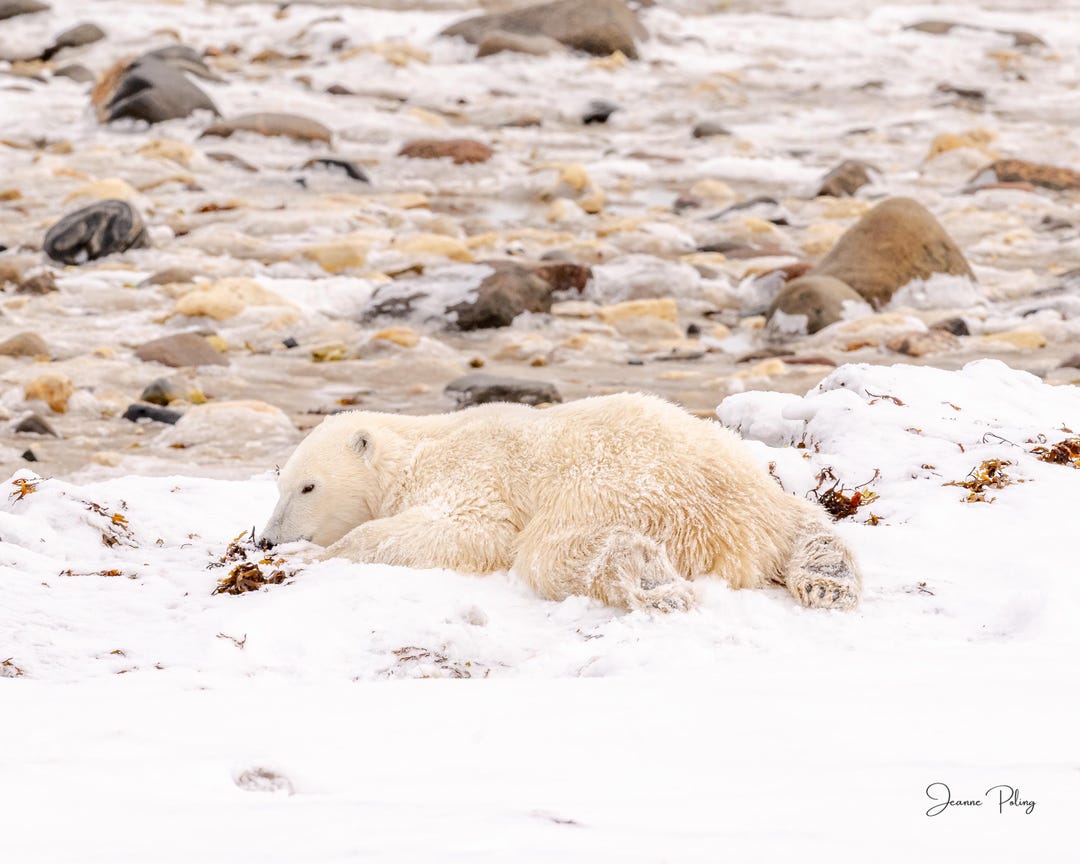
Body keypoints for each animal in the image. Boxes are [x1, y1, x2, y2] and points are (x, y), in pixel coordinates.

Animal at [259, 393, 861, 612]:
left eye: (307, 487)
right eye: (279, 485)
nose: (264, 538)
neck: (421, 446)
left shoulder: (472, 472)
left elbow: (470, 531)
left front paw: (316, 555)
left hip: (612, 489)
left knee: (557, 554)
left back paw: (651, 582)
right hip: (758, 488)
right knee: (810, 523)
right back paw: (830, 581)